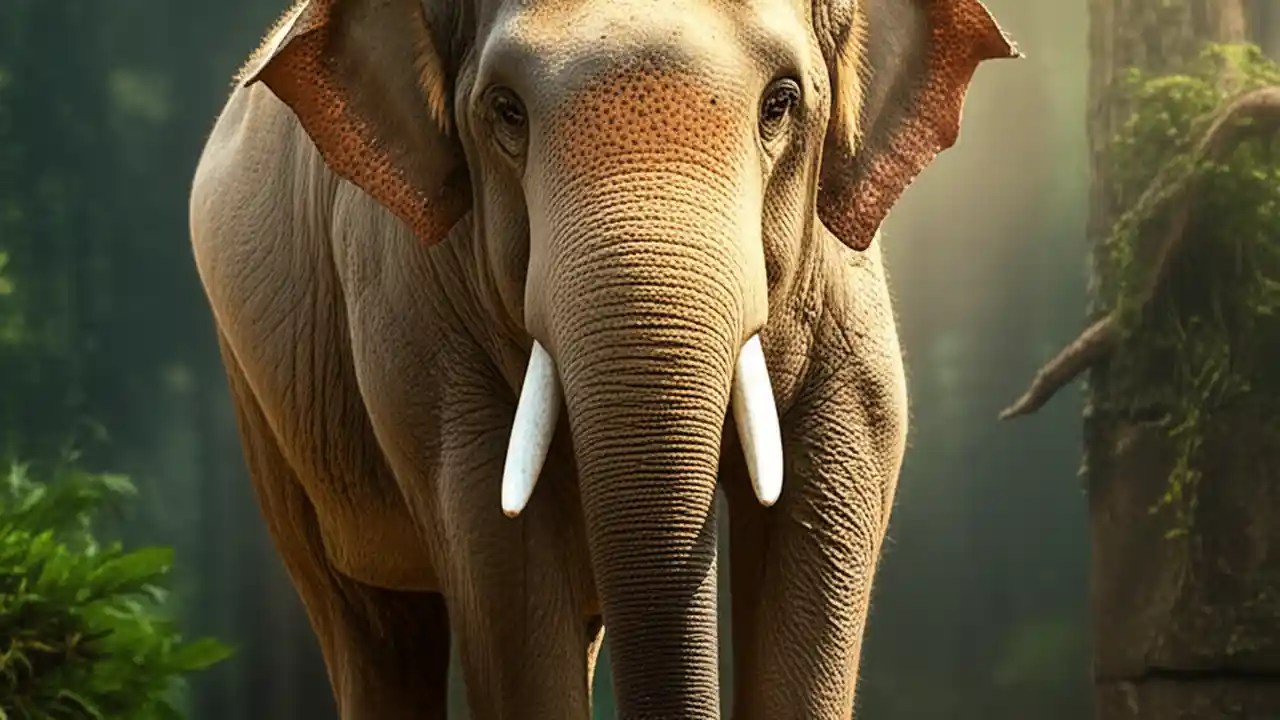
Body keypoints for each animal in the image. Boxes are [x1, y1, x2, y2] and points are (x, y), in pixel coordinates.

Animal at [188, 0, 1015, 717]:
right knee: (370, 622)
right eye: (507, 111)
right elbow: (500, 547)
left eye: (780, 103)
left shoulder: (844, 289)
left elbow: (830, 486)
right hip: (259, 401)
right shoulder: (415, 307)